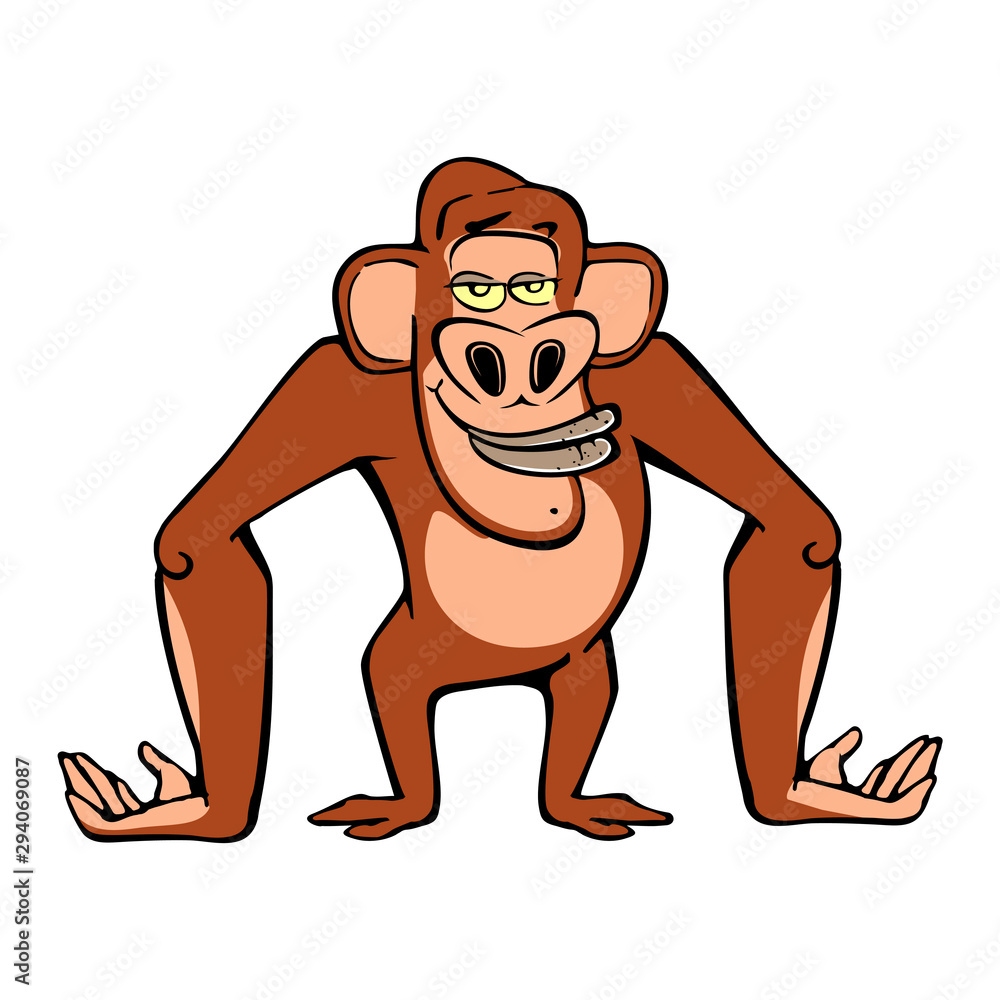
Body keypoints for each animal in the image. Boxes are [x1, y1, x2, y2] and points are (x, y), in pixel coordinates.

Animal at [59, 157, 940, 842]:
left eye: (535, 288)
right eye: (477, 293)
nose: (521, 356)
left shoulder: (661, 373)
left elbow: (796, 526)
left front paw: (798, 796)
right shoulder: (330, 384)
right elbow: (198, 538)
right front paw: (203, 812)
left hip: (581, 668)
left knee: (578, 717)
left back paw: (571, 803)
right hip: (404, 659)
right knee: (401, 712)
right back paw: (409, 804)